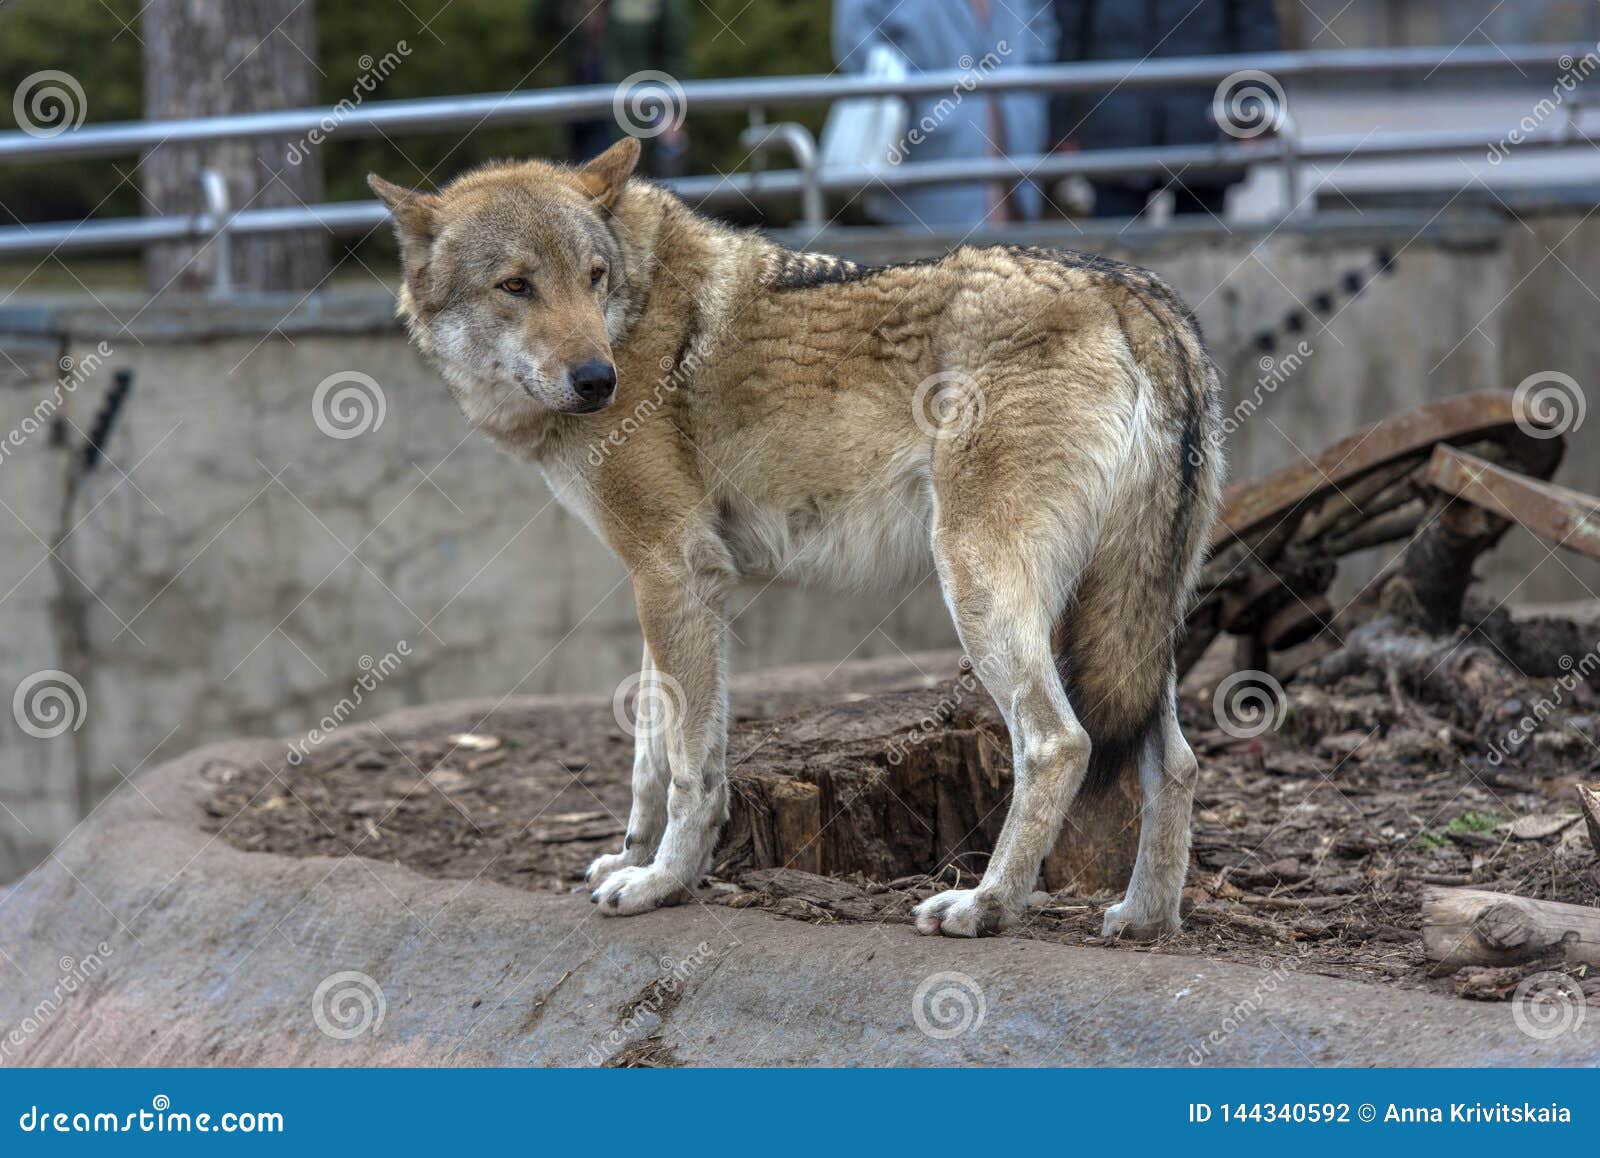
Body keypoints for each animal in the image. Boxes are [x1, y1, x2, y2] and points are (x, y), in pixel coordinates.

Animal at [369, 136, 1223, 938]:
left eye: (593, 277)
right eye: (516, 285)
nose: (596, 381)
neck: (635, 312)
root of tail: (1131, 288)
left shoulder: (675, 570)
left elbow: (690, 768)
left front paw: (662, 883)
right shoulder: (661, 579)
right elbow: (650, 750)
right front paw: (630, 858)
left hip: (982, 589)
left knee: (1061, 743)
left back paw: (984, 905)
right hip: (1121, 619)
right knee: (1177, 762)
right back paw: (1144, 917)